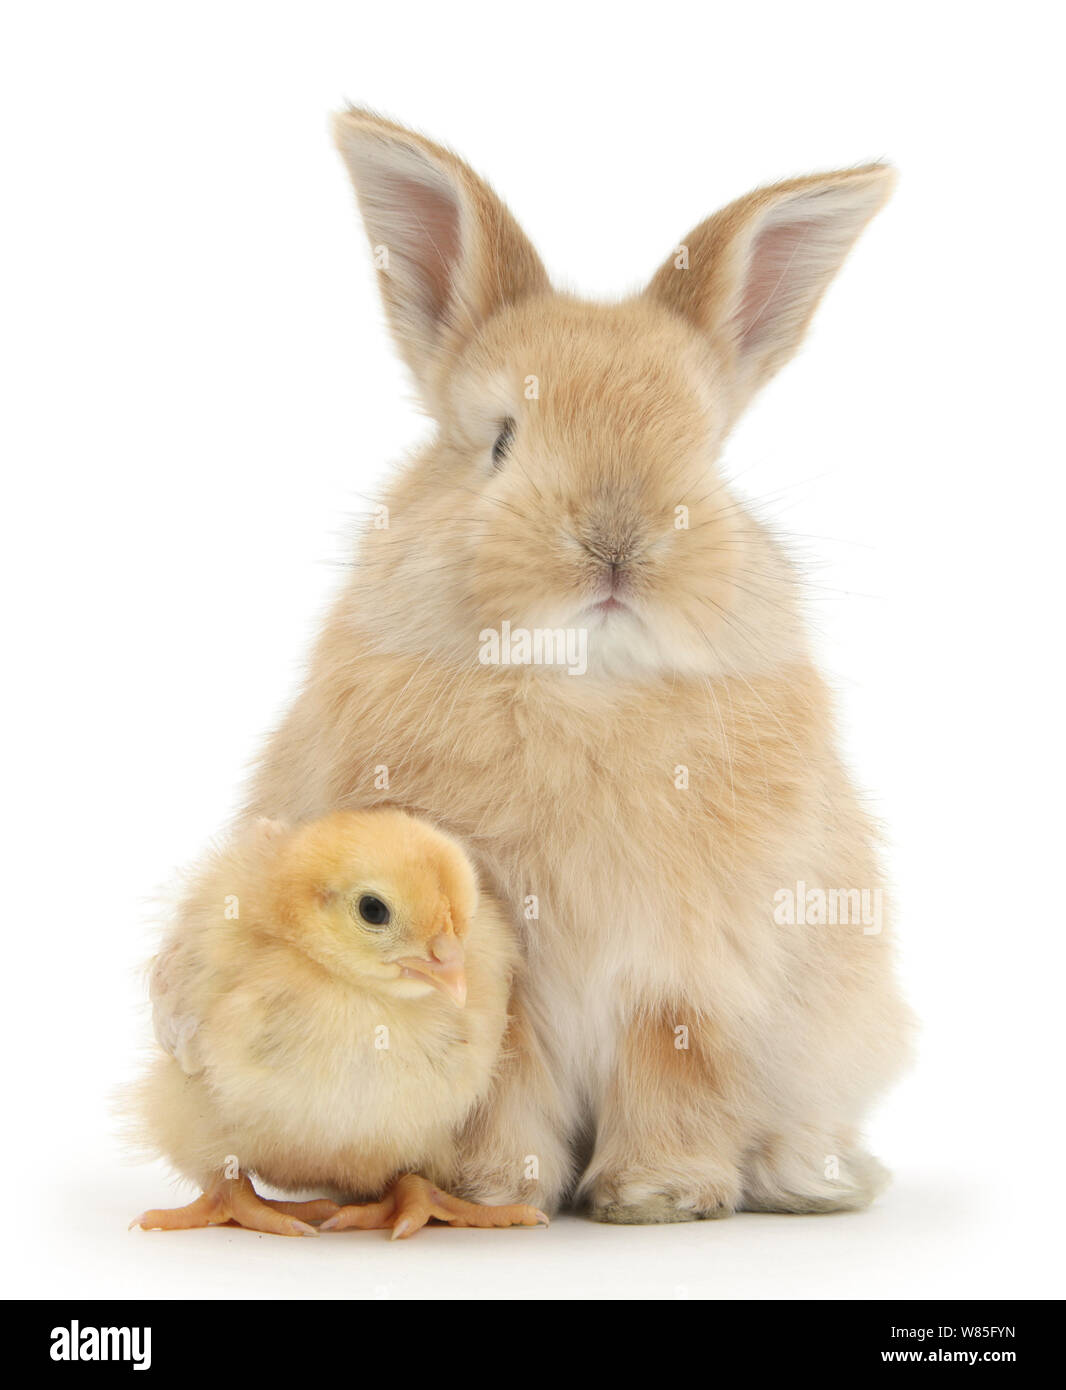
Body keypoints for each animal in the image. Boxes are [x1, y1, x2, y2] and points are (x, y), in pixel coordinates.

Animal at [234, 108, 912, 1223]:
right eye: (500, 441)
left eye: (705, 455)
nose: (615, 543)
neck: (587, 690)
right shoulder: (502, 975)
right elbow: (501, 1078)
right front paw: (489, 1190)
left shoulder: (691, 974)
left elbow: (674, 1067)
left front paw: (660, 1195)